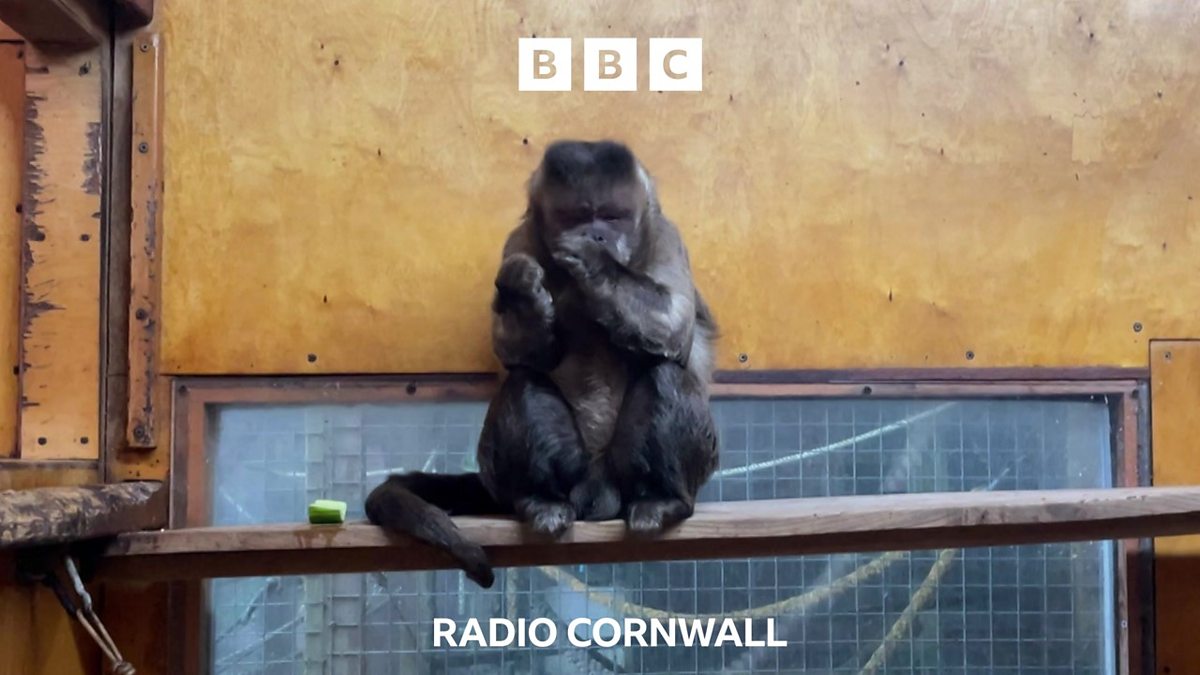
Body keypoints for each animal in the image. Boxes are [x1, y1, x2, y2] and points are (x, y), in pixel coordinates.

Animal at [365, 140, 719, 588]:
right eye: (575, 216)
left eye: (613, 216)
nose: (597, 234)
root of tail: (598, 490)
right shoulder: (519, 239)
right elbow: (525, 353)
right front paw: (522, 294)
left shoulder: (666, 235)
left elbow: (673, 330)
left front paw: (595, 261)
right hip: (557, 473)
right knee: (523, 381)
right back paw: (541, 500)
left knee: (666, 374)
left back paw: (662, 498)